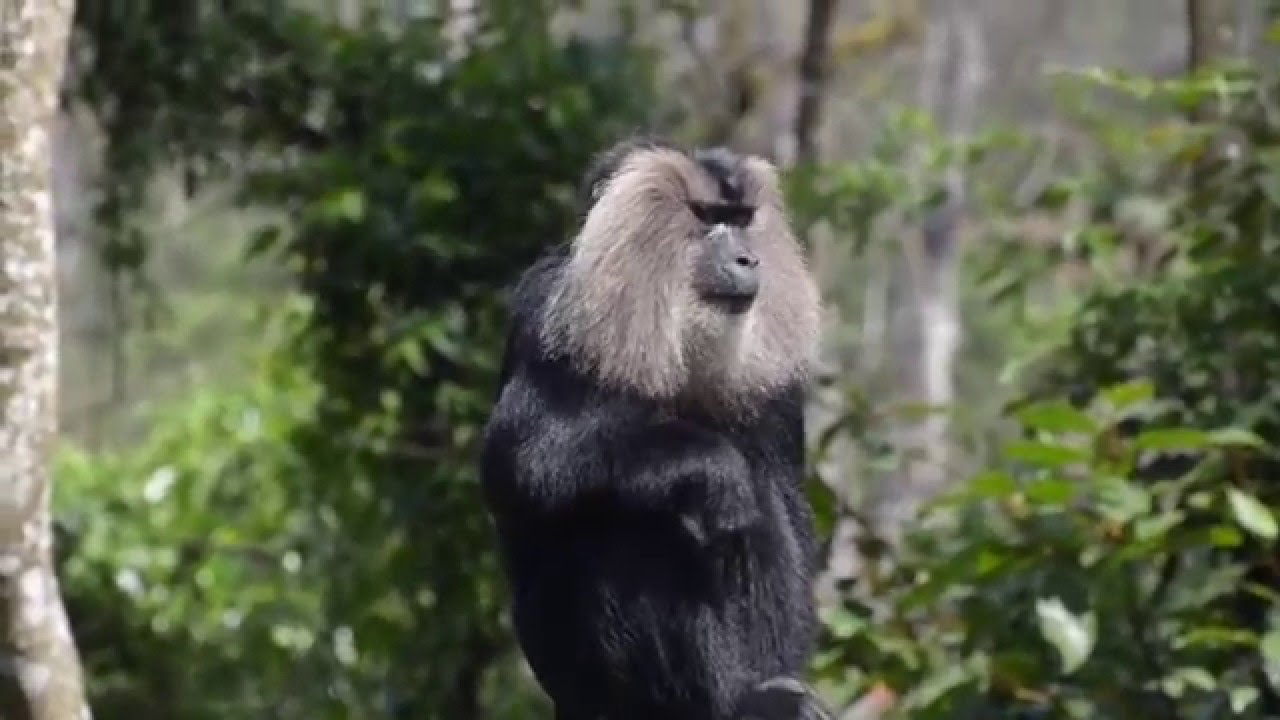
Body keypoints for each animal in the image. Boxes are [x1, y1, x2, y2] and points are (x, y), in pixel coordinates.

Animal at [480, 137, 828, 720]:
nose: (747, 259)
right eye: (708, 218)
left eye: (741, 219)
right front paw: (711, 465)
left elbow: (785, 503)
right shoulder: (552, 307)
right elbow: (521, 458)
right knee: (627, 517)